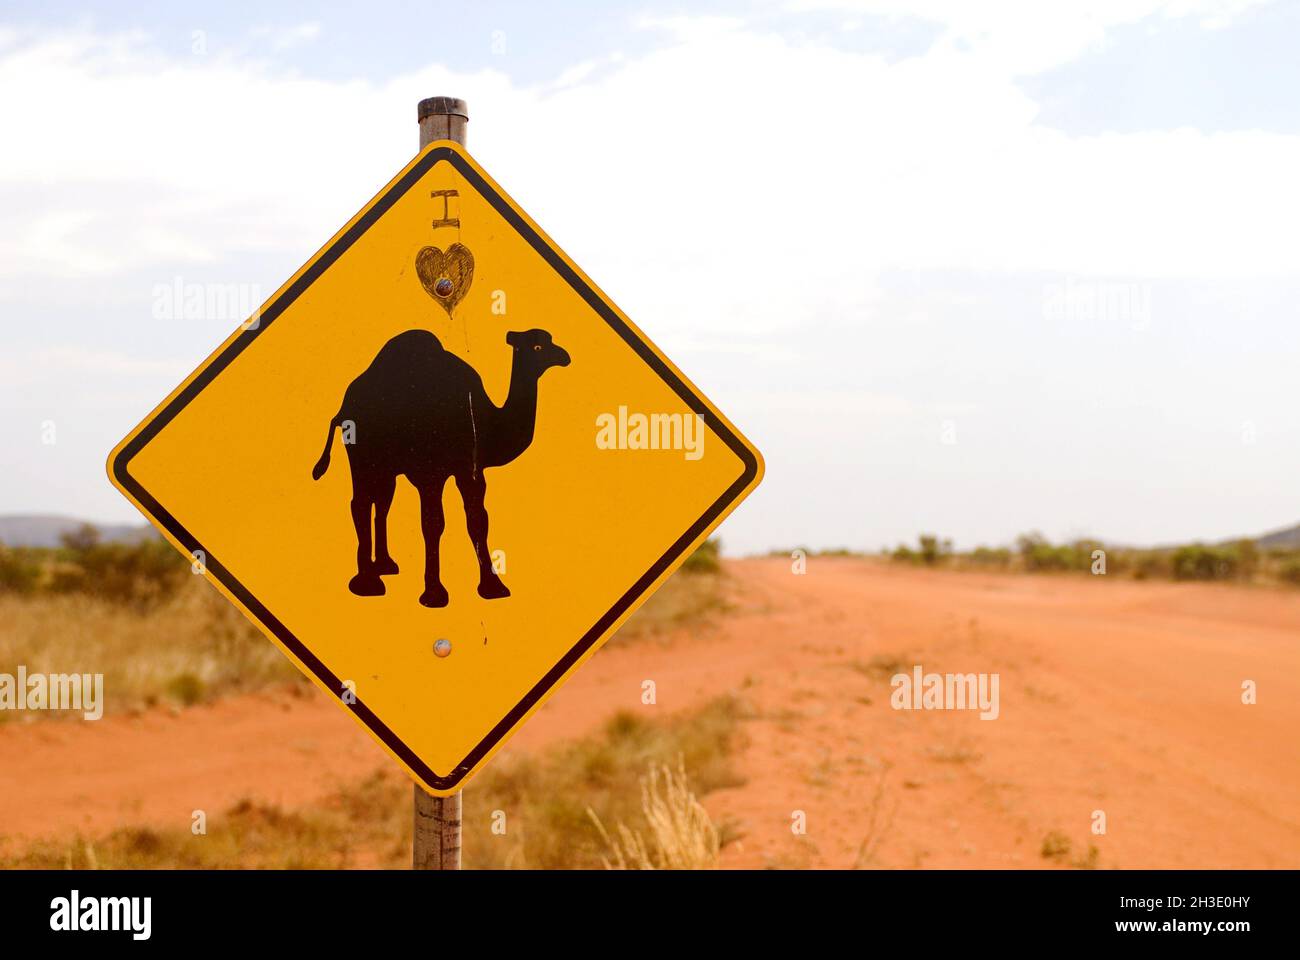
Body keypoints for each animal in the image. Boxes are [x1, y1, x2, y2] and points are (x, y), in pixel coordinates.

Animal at [311, 328, 570, 608]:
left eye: (549, 340)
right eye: (537, 347)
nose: (565, 356)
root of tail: (343, 406)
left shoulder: (470, 470)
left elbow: (478, 520)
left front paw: (493, 587)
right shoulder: (430, 473)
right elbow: (433, 523)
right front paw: (434, 593)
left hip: (386, 466)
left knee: (380, 503)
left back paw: (384, 565)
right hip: (361, 455)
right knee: (359, 503)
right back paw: (367, 583)